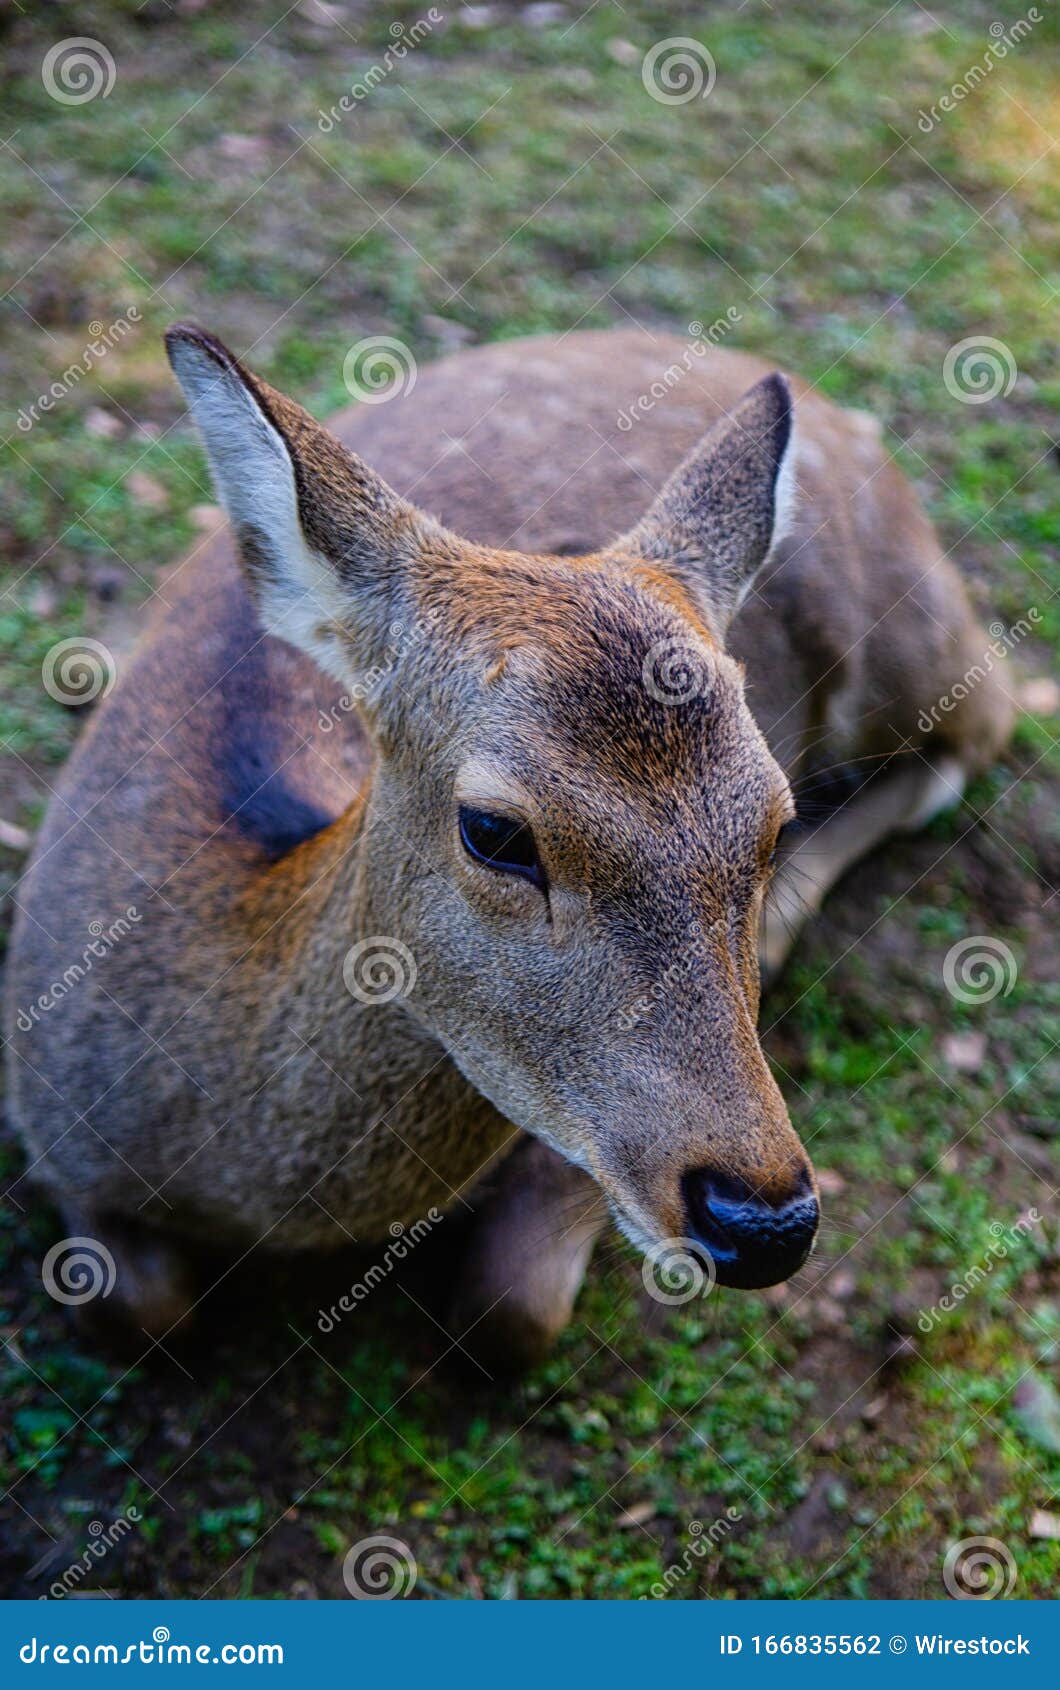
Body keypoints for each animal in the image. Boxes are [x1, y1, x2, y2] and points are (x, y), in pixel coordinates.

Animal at [5, 324, 1013, 1372]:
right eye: (495, 831)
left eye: (772, 821)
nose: (764, 1220)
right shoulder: (49, 1123)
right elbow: (139, 1312)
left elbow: (509, 1311)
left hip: (901, 626)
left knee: (992, 711)